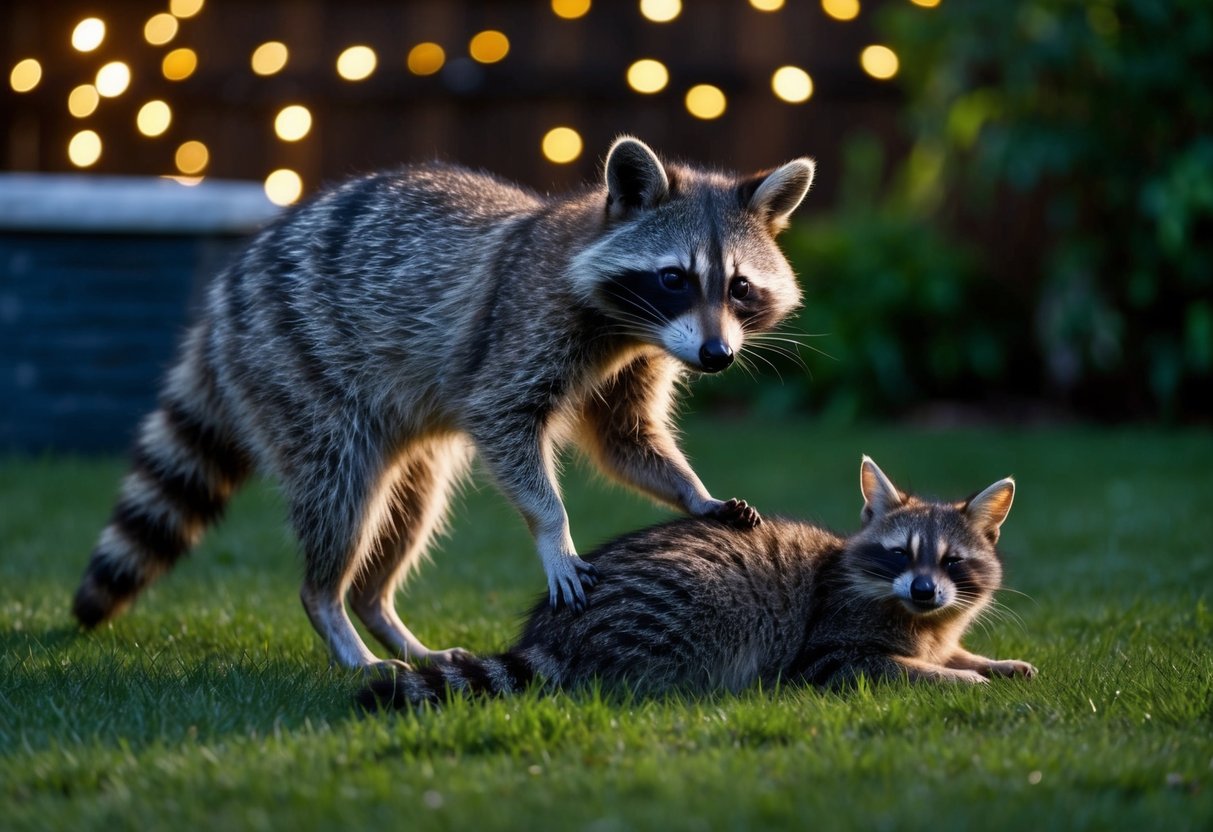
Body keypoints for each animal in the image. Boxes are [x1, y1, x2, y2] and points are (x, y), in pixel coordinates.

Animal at [72, 137, 815, 673]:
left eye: (739, 286)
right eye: (674, 278)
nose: (718, 356)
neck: (629, 325)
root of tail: (228, 296)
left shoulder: (637, 359)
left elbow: (626, 440)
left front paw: (693, 492)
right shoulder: (525, 325)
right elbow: (504, 422)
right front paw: (554, 531)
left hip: (402, 440)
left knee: (408, 514)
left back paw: (380, 613)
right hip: (296, 374)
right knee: (341, 497)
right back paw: (335, 615)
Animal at [359, 457, 1037, 709]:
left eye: (952, 563)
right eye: (900, 557)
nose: (924, 592)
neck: (919, 618)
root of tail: (556, 630)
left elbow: (949, 649)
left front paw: (988, 661)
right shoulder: (829, 648)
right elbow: (891, 666)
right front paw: (954, 676)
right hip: (695, 603)